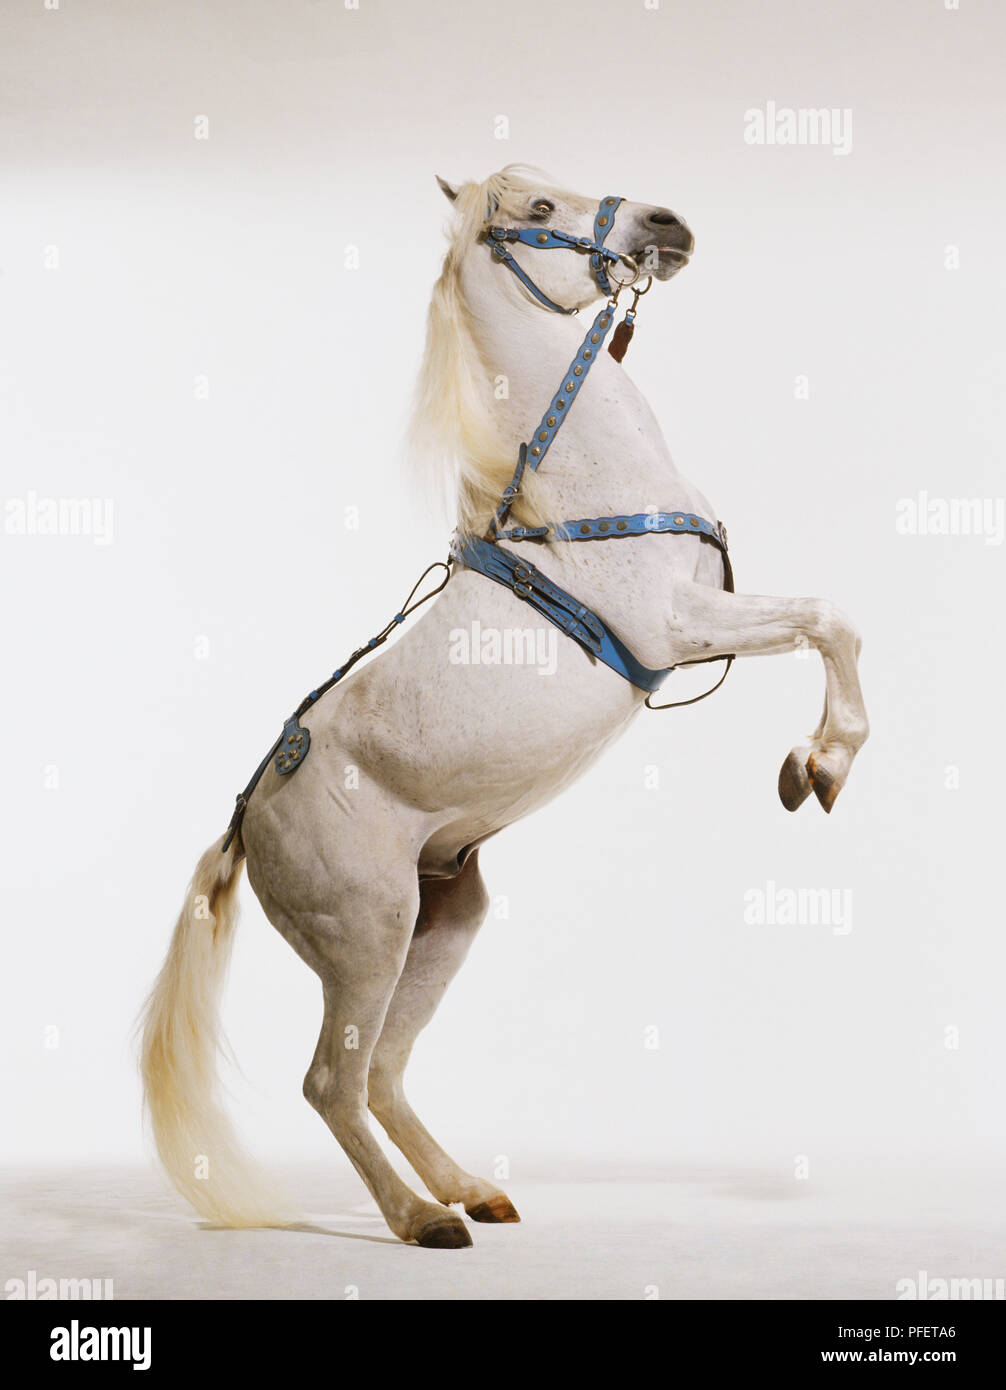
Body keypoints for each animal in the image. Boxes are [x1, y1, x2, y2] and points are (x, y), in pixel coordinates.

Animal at [140, 165, 868, 1249]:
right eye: (533, 211)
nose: (667, 223)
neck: (582, 493)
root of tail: (244, 824)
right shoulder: (682, 623)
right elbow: (830, 620)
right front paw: (818, 764)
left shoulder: (712, 620)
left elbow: (830, 622)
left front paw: (810, 761)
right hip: (369, 932)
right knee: (331, 1083)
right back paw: (420, 1219)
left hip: (443, 922)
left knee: (383, 1074)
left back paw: (469, 1189)